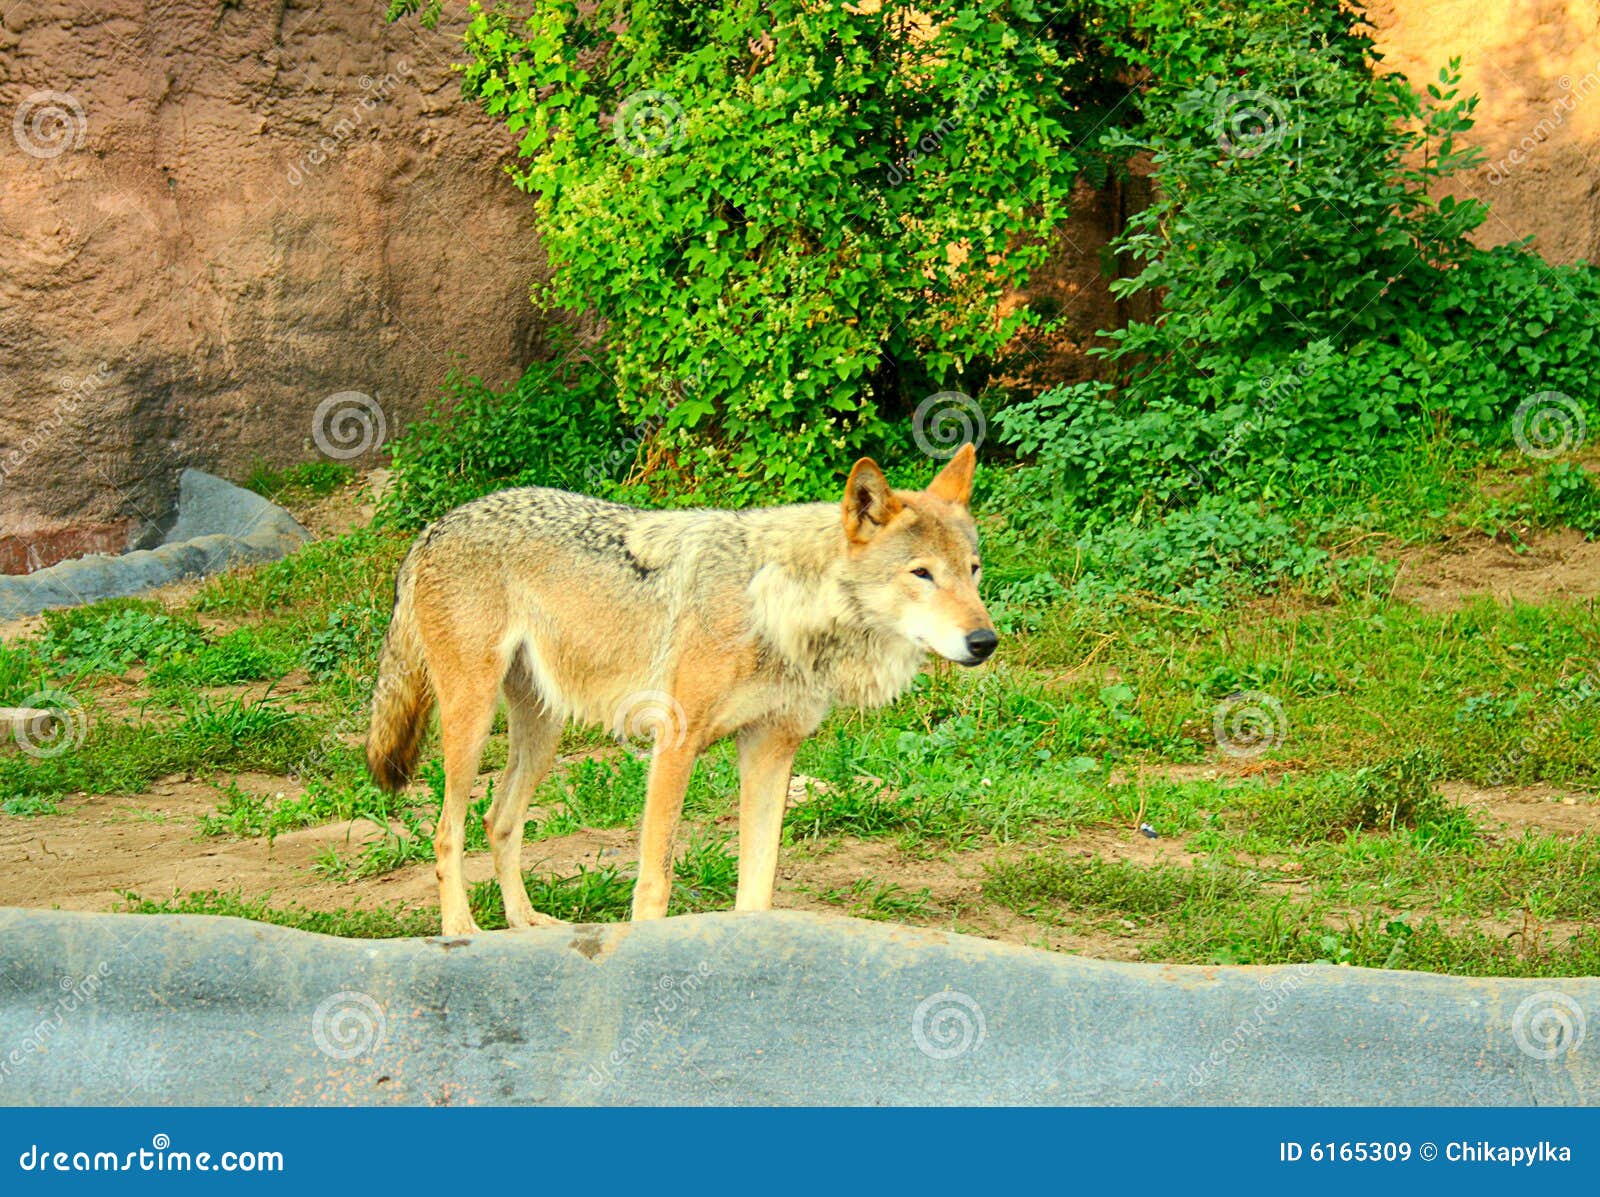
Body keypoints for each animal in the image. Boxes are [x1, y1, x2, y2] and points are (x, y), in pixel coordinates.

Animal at [366, 444, 995, 934]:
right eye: (921, 574)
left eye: (973, 570)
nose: (985, 640)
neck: (774, 608)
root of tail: (434, 527)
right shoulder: (675, 744)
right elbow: (655, 881)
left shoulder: (771, 750)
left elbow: (758, 887)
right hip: (470, 724)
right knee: (446, 833)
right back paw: (461, 932)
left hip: (543, 735)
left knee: (499, 821)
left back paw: (524, 922)